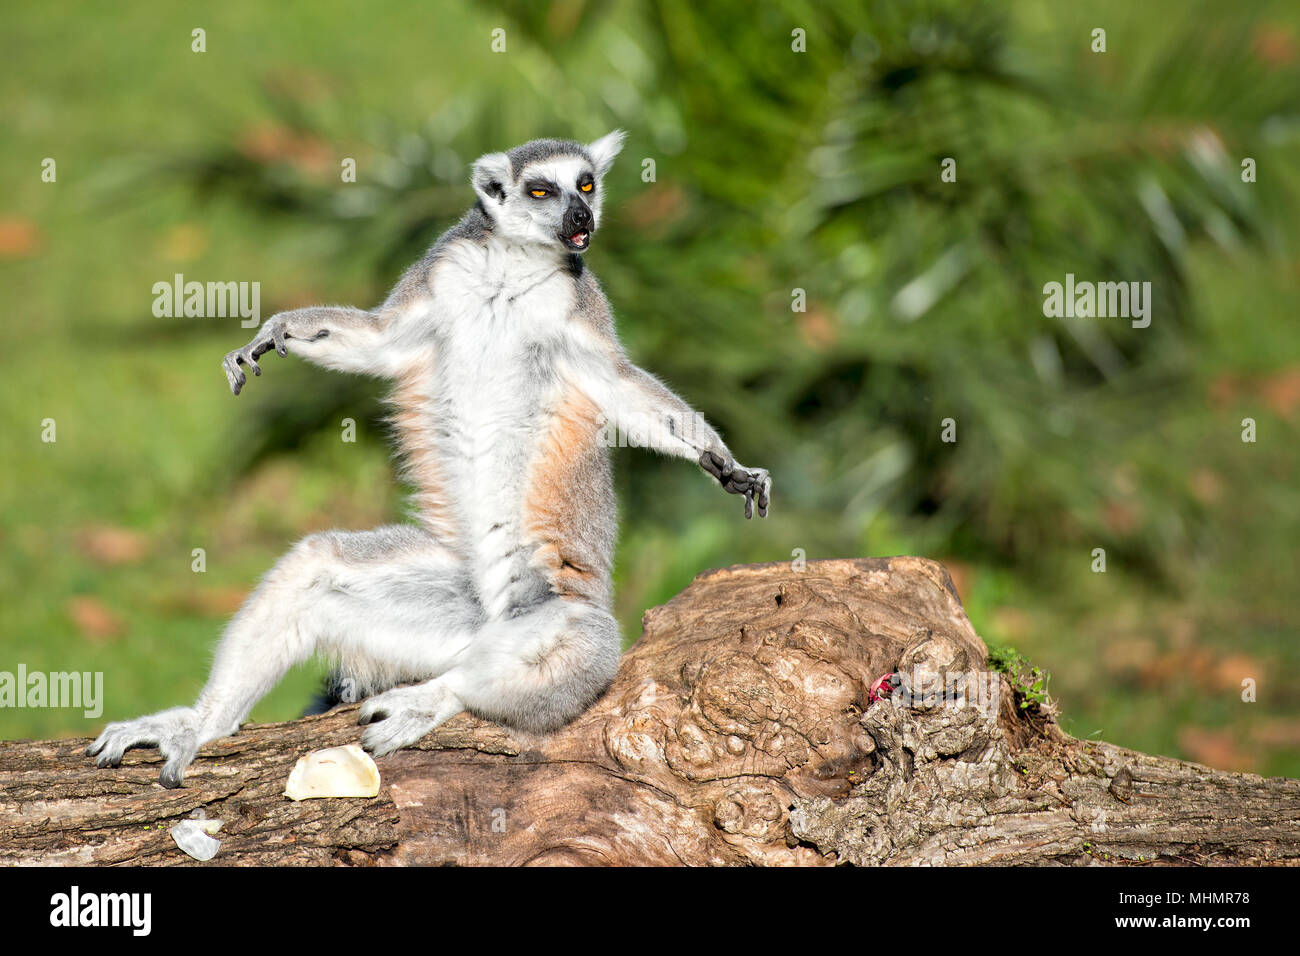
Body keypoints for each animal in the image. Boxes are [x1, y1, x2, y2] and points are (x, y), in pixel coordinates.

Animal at [87, 131, 771, 788]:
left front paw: (723, 462)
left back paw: (431, 700)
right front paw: (281, 329)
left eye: (586, 184)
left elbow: (624, 389)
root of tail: (486, 632)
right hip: (442, 609)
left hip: (541, 603)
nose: (583, 215)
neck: (509, 267)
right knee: (318, 566)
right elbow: (379, 340)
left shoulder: (581, 310)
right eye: (542, 190)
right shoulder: (443, 270)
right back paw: (203, 723)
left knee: (574, 644)